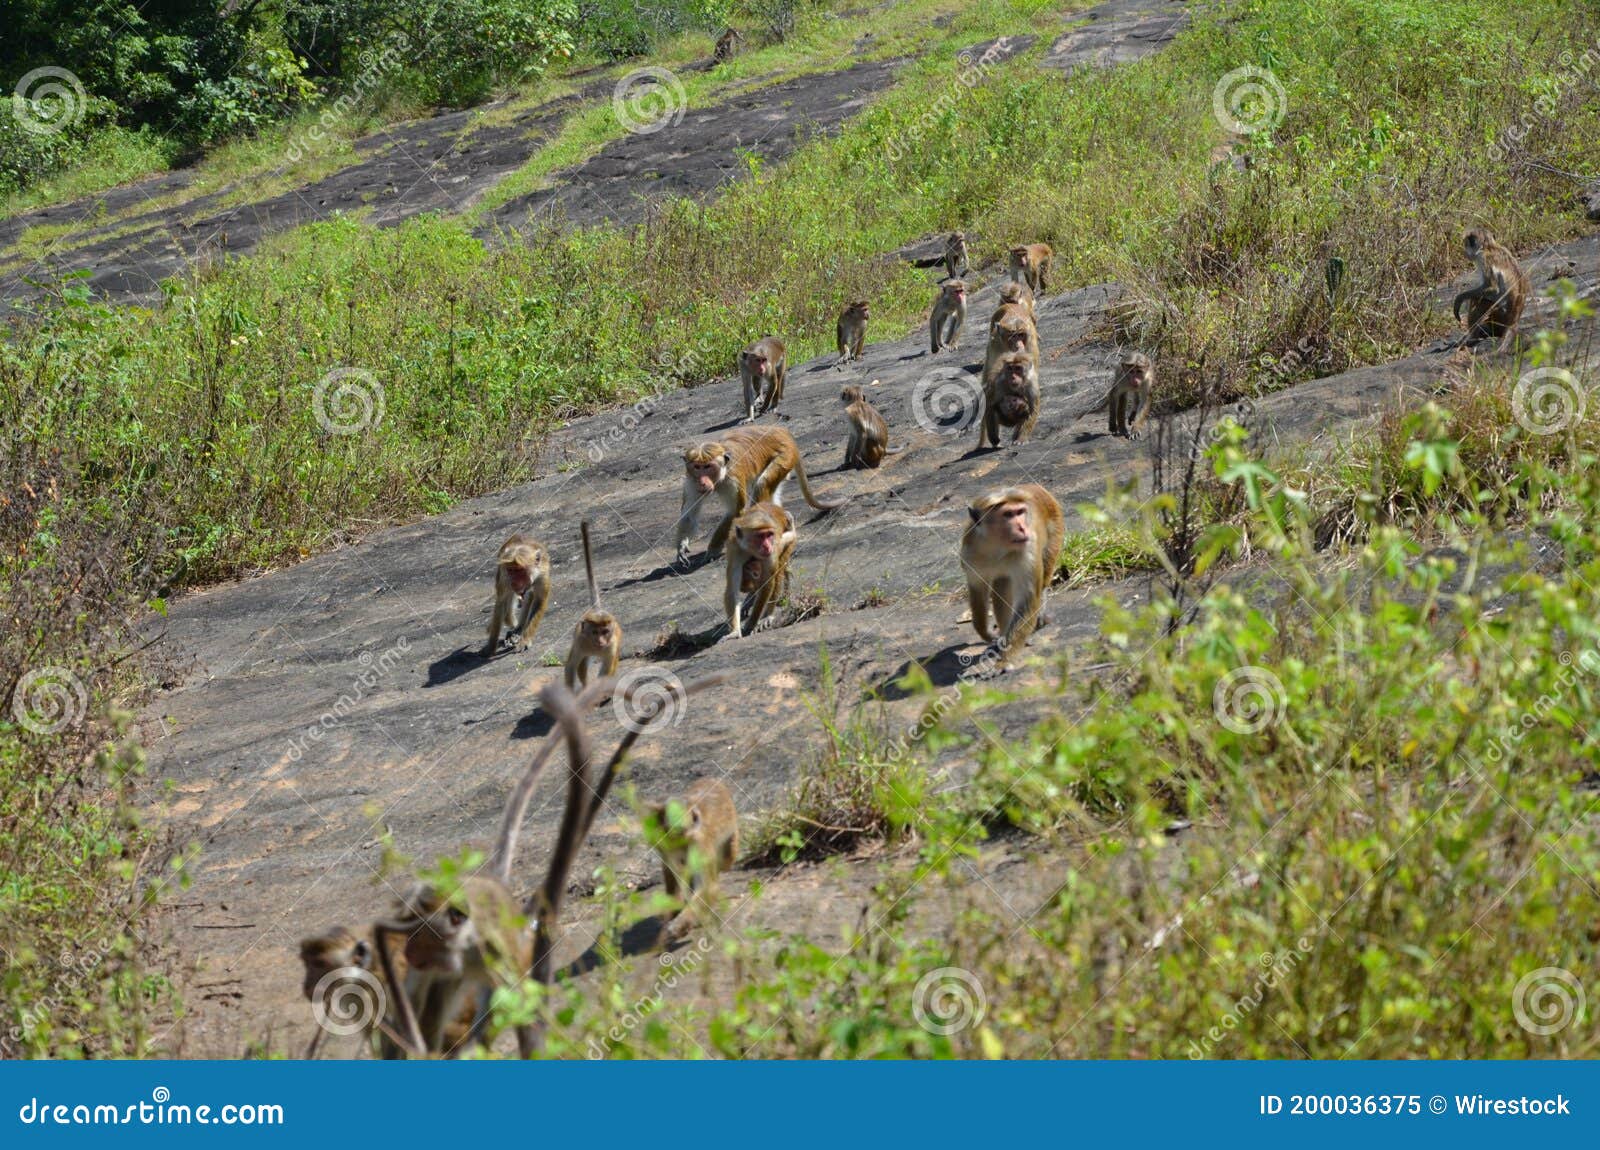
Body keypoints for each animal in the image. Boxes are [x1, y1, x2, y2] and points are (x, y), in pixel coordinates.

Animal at [563, 520, 621, 691]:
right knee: (582, 664)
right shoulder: (580, 641)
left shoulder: (612, 644)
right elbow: (571, 666)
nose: (601, 642)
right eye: (595, 632)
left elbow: (607, 668)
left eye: (605, 632)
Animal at [645, 777, 739, 942]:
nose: (679, 824)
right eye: (670, 811)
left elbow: (709, 887)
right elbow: (673, 873)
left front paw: (680, 924)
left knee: (725, 861)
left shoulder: (700, 844)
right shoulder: (664, 846)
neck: (679, 841)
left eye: (686, 812)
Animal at [674, 426, 843, 565]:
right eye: (697, 467)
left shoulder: (733, 478)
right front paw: (681, 548)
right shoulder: (691, 481)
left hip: (785, 456)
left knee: (762, 483)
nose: (702, 481)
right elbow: (689, 514)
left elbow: (735, 511)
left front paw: (712, 550)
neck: (720, 477)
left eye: (708, 467)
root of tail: (782, 431)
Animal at [723, 501, 796, 638]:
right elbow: (732, 588)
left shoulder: (773, 548)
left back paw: (768, 615)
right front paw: (735, 632)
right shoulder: (735, 548)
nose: (767, 546)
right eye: (760, 536)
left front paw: (752, 623)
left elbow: (768, 581)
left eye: (769, 535)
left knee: (779, 569)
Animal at [959, 484, 1066, 666]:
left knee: (1043, 578)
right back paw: (1004, 635)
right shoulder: (970, 550)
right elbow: (978, 588)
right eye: (1008, 514)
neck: (997, 546)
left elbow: (1028, 599)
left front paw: (1005, 661)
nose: (1022, 528)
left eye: (1020, 512)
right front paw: (985, 632)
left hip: (1055, 527)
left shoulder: (1028, 551)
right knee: (1002, 584)